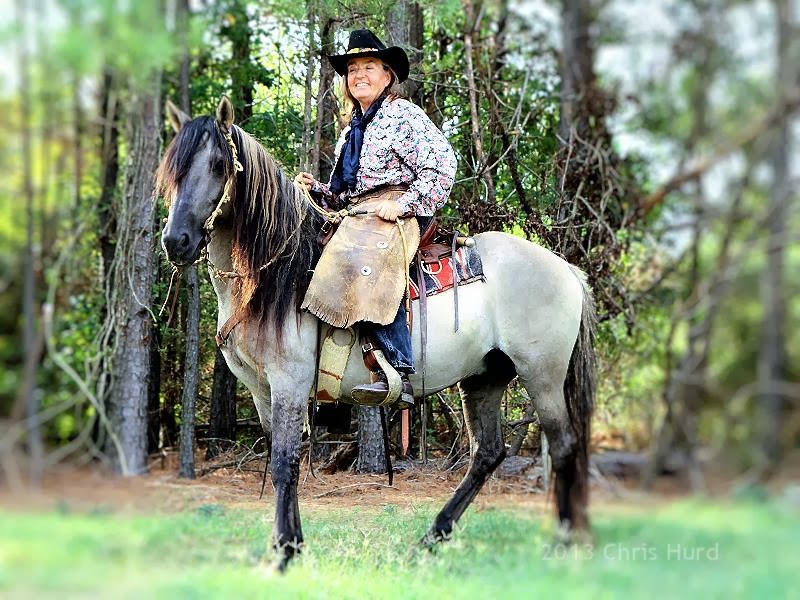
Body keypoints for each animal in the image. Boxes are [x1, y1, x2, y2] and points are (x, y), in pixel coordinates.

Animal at [157, 96, 597, 570]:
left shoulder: (289, 383)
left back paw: (562, 541)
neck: (274, 277)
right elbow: (282, 461)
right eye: (173, 169)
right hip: (486, 376)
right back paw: (433, 536)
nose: (176, 241)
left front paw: (284, 555)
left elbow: (284, 464)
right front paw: (290, 545)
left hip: (542, 375)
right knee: (488, 452)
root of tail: (567, 270)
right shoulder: (261, 391)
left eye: (219, 164)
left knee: (563, 445)